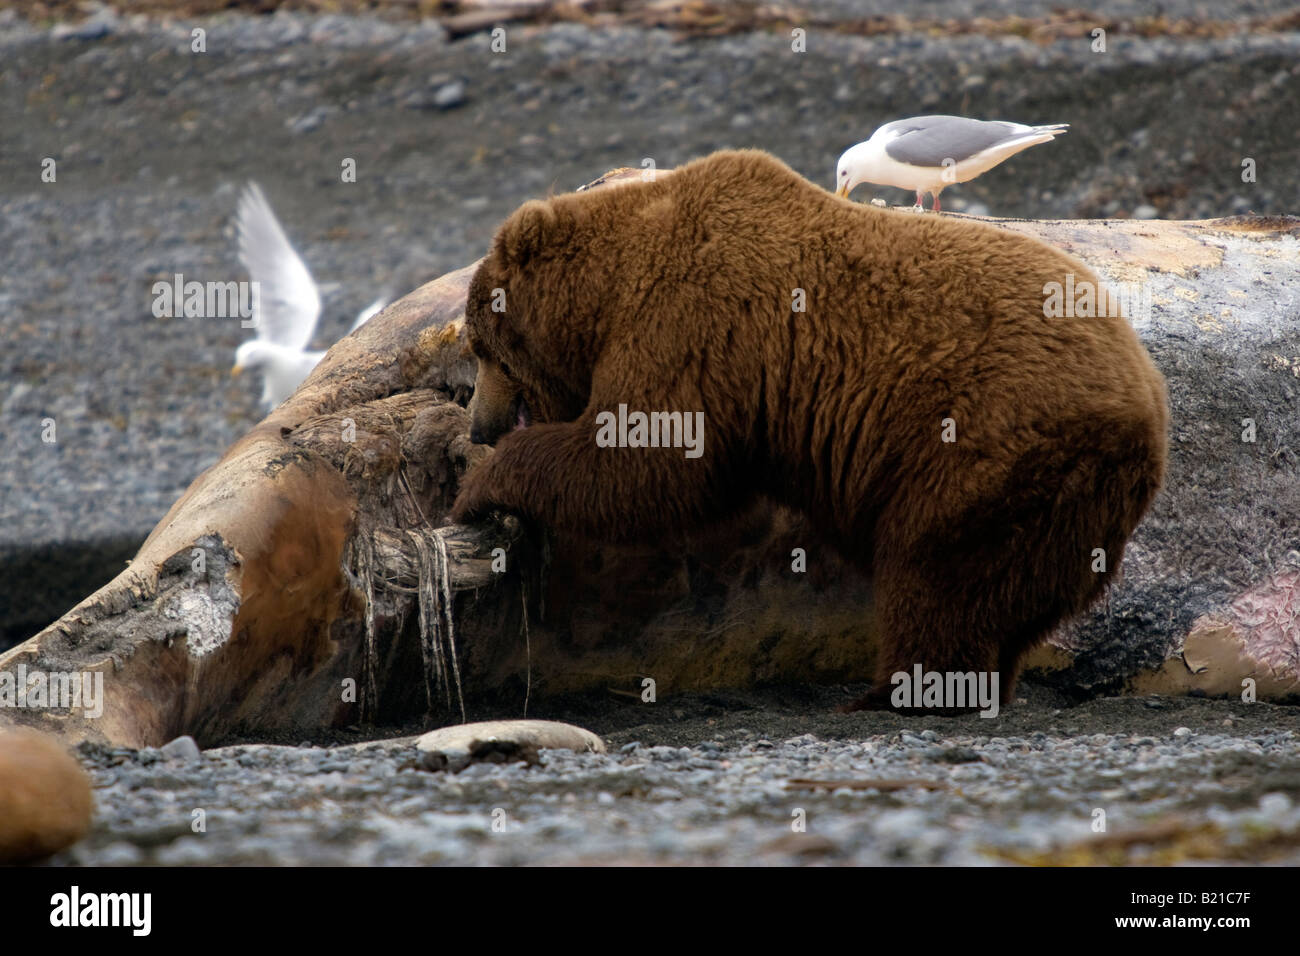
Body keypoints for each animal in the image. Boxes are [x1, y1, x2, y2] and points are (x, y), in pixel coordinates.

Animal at [451, 149, 1169, 712]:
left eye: (481, 346)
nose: (480, 425)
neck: (607, 294)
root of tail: (1148, 402)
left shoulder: (688, 326)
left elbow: (643, 462)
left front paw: (480, 483)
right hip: (1076, 499)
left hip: (989, 448)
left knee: (937, 574)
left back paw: (896, 692)